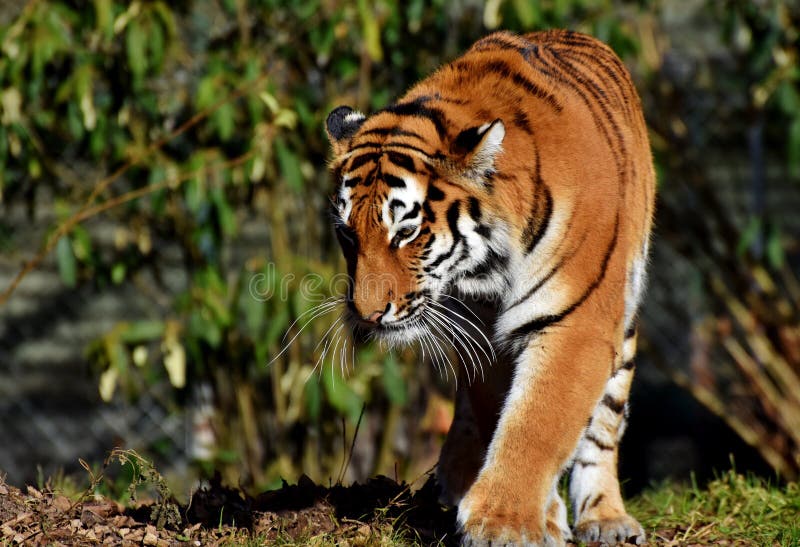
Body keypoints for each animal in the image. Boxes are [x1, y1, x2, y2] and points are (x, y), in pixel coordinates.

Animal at [325, 30, 654, 546]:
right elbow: (500, 413)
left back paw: (606, 518)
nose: (367, 314)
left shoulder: (576, 322)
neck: (484, 271)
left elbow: (538, 421)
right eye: (347, 235)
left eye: (406, 232)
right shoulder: (479, 333)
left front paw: (503, 523)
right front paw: (536, 516)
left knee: (602, 428)